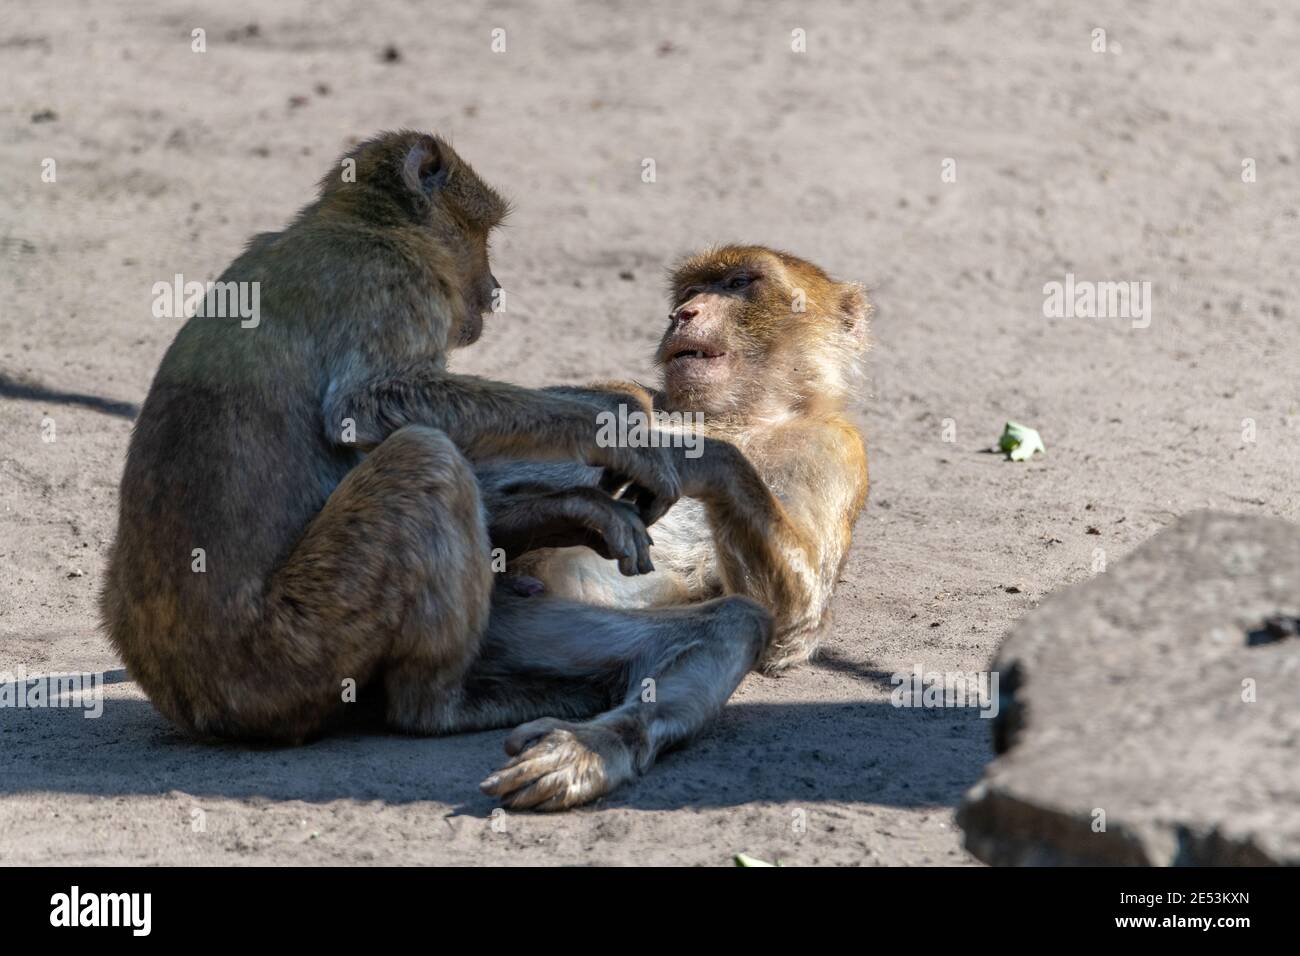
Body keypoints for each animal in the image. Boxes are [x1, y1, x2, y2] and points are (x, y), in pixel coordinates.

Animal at [100, 129, 689, 746]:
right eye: (482, 230)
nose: (494, 290)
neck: (365, 222)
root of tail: (194, 700)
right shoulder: (397, 281)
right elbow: (368, 401)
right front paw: (610, 431)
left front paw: (576, 499)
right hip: (297, 645)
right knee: (425, 457)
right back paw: (440, 706)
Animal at [473, 245, 870, 809]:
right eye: (690, 291)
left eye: (739, 283)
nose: (683, 314)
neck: (742, 416)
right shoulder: (618, 395)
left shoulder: (836, 450)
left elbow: (794, 627)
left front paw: (703, 457)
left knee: (734, 625)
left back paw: (596, 748)